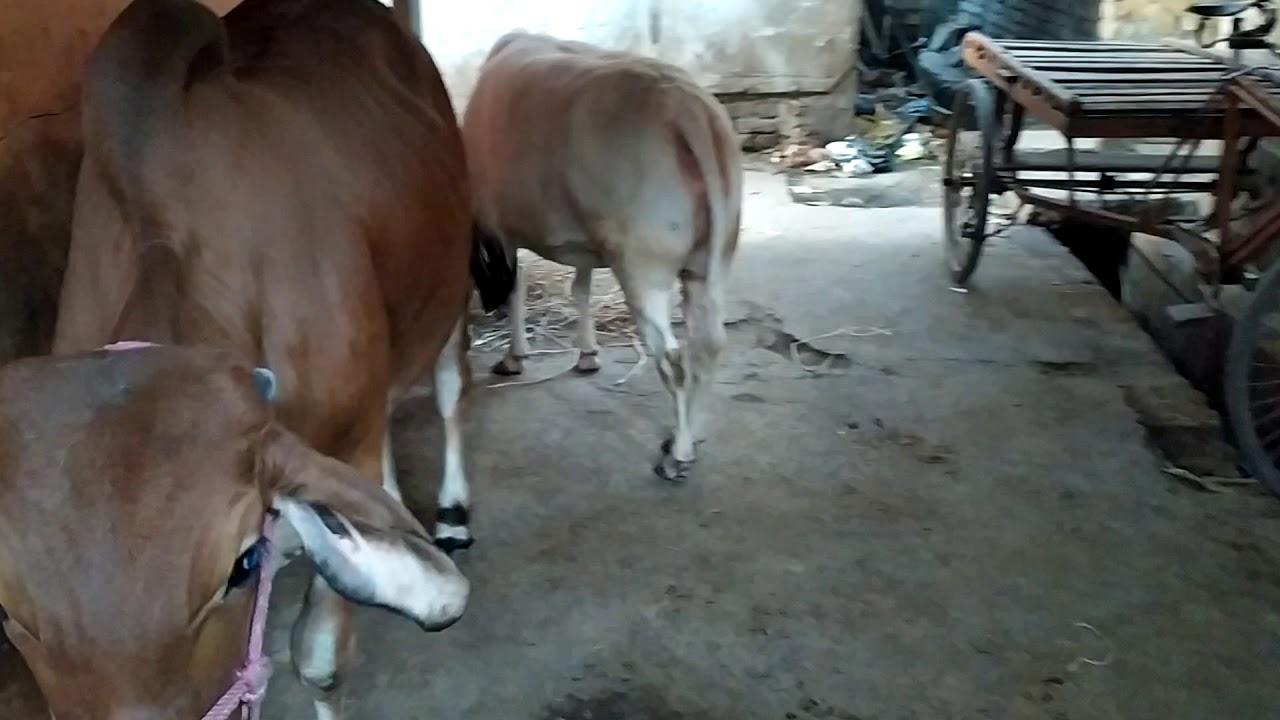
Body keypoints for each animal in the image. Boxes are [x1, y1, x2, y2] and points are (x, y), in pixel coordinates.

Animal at [0, 0, 516, 718]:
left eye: (240, 568)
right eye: (5, 612)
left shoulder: (344, 441)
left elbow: (320, 663)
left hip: (445, 285)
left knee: (448, 384)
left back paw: (451, 511)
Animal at [462, 31, 743, 482]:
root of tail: (686, 106)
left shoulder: (501, 228)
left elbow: (518, 289)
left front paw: (514, 356)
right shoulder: (585, 241)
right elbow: (580, 288)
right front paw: (587, 353)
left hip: (642, 265)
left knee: (674, 358)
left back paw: (677, 454)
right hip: (710, 264)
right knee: (709, 345)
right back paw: (691, 435)